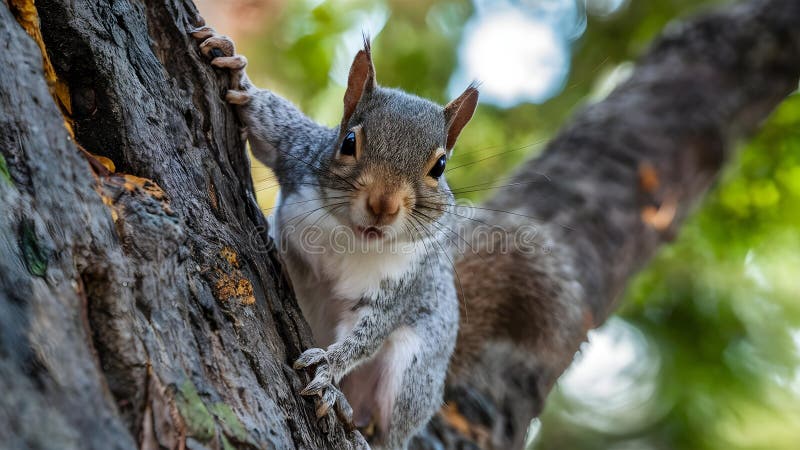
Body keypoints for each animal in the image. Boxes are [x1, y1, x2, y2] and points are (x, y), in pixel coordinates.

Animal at [191, 26, 478, 450]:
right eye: (348, 141)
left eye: (439, 166)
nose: (383, 205)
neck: (352, 236)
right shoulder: (297, 148)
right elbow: (267, 122)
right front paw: (234, 68)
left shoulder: (402, 284)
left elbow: (366, 334)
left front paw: (328, 367)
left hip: (413, 371)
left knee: (392, 428)